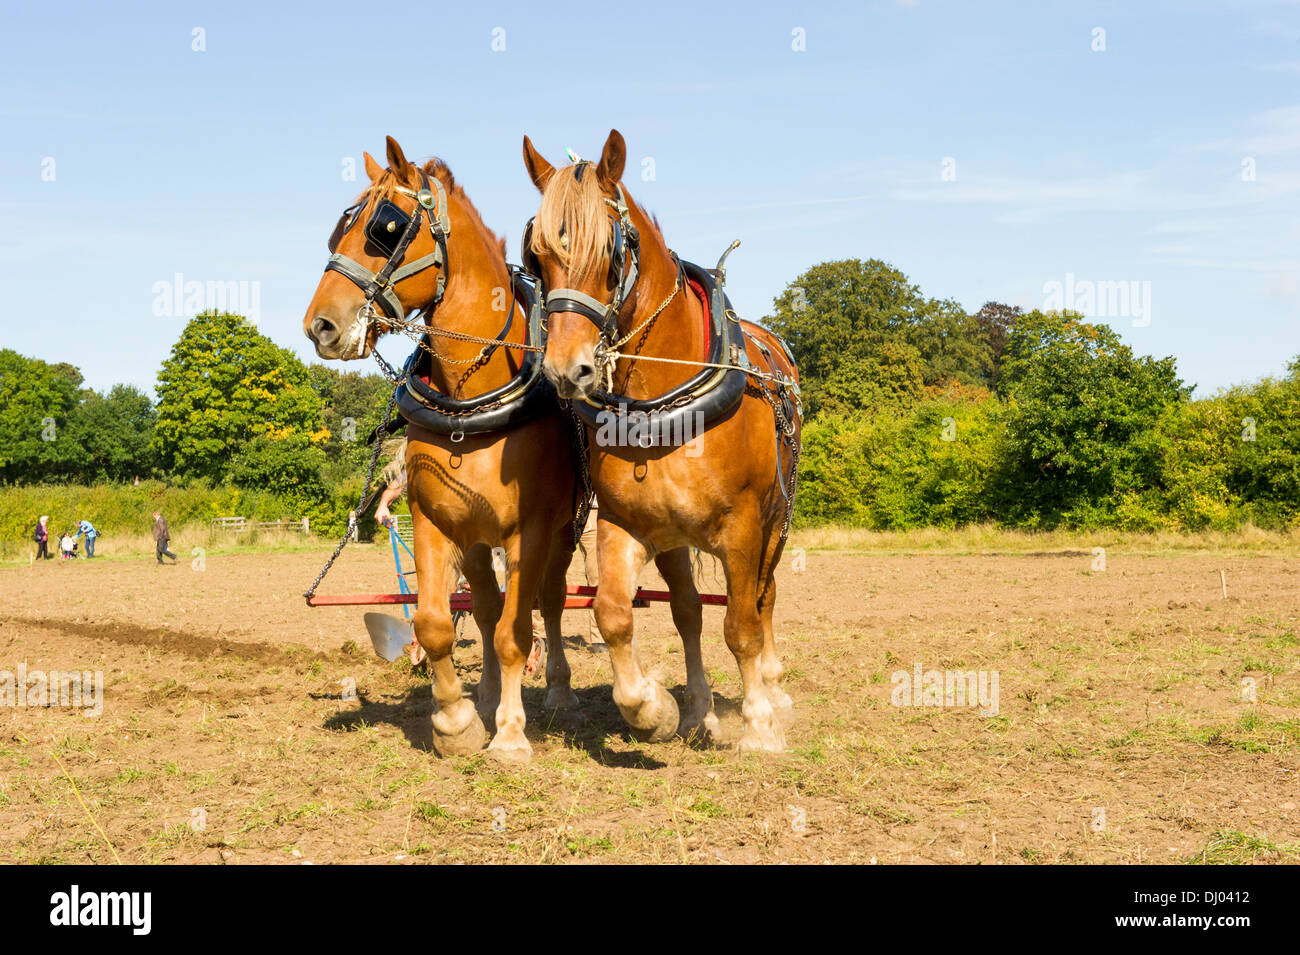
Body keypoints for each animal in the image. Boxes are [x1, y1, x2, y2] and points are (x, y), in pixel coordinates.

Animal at [303, 136, 582, 761]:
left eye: (385, 226)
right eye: (337, 231)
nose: (319, 326)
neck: (468, 399)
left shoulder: (529, 529)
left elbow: (515, 630)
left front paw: (510, 733)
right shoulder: (433, 519)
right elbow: (436, 623)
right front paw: (457, 721)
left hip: (563, 531)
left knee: (549, 601)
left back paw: (555, 690)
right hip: (473, 535)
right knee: (481, 607)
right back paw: (487, 696)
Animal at [521, 130, 803, 752]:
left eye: (611, 252)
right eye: (537, 258)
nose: (565, 371)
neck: (666, 402)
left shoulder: (744, 527)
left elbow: (742, 626)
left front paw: (759, 725)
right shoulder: (623, 524)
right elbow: (615, 613)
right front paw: (652, 708)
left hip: (775, 519)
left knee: (762, 598)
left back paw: (772, 690)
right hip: (676, 540)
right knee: (689, 612)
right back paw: (699, 710)